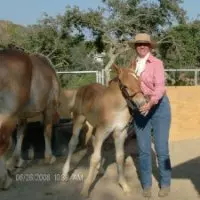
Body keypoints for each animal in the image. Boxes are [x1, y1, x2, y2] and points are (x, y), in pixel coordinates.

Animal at [0, 48, 59, 189]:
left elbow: (20, 134)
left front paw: (16, 160)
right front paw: (49, 157)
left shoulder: (21, 115)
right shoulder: (49, 109)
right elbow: (47, 131)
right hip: (8, 115)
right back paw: (4, 179)